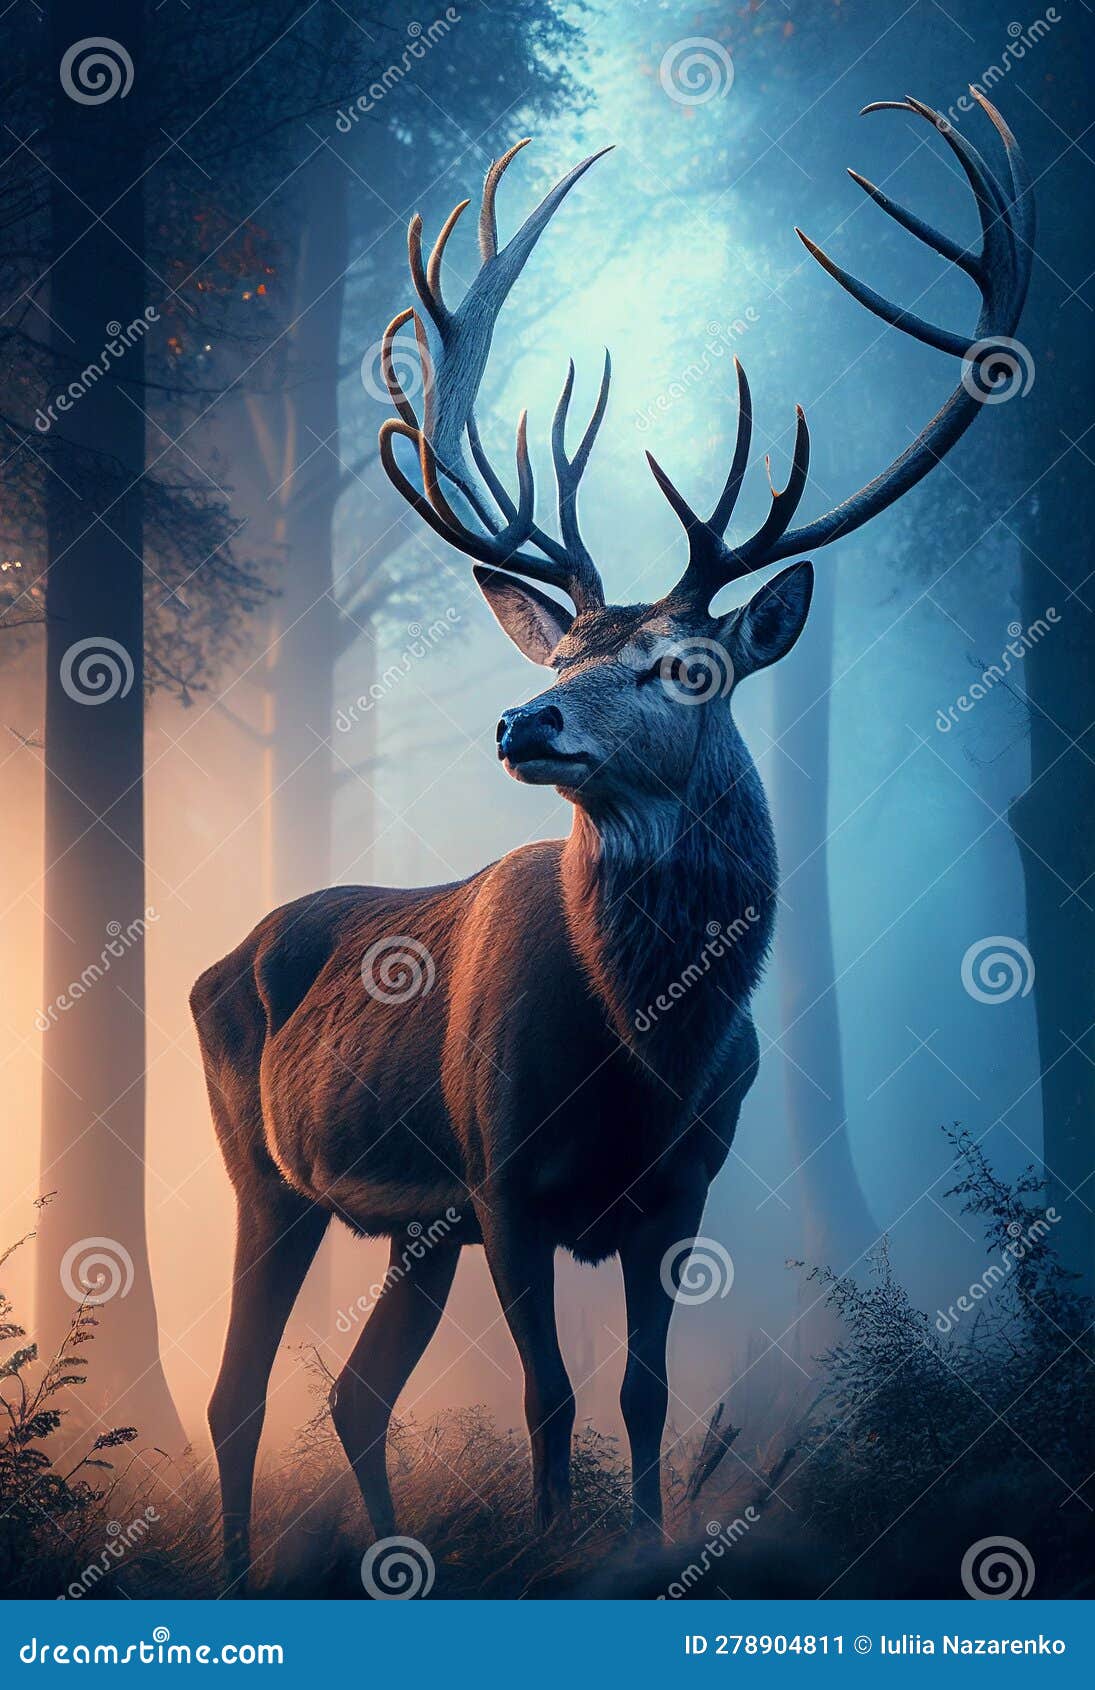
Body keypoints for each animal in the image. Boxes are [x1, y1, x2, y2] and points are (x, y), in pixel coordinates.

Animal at [192, 92, 1031, 1589]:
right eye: (565, 651)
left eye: (682, 666)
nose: (524, 718)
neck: (650, 1050)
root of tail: (209, 963)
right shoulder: (503, 1177)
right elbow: (549, 1396)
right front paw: (548, 1554)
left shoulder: (678, 1191)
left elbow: (643, 1393)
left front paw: (640, 1544)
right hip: (267, 1167)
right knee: (241, 1389)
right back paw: (238, 1576)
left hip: (410, 1228)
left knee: (352, 1392)